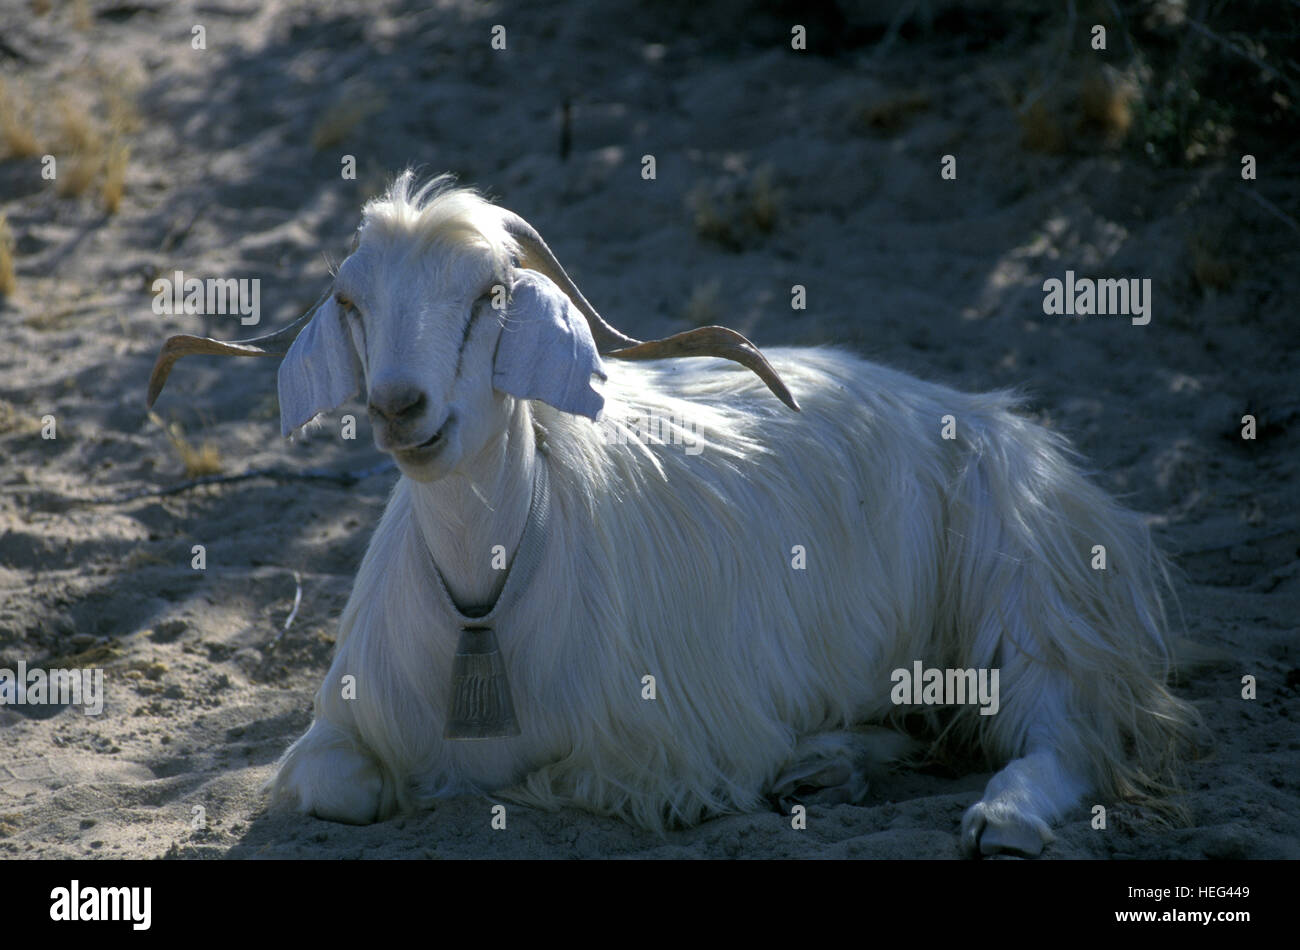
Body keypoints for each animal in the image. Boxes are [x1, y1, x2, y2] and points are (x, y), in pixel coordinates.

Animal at [146, 172, 1196, 856]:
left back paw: (999, 820)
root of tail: (980, 412)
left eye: (492, 293)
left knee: (1067, 727)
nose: (400, 408)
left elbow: (551, 783)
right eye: (351, 303)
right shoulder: (339, 734)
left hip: (1027, 579)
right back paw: (828, 765)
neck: (484, 594)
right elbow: (345, 793)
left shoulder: (663, 753)